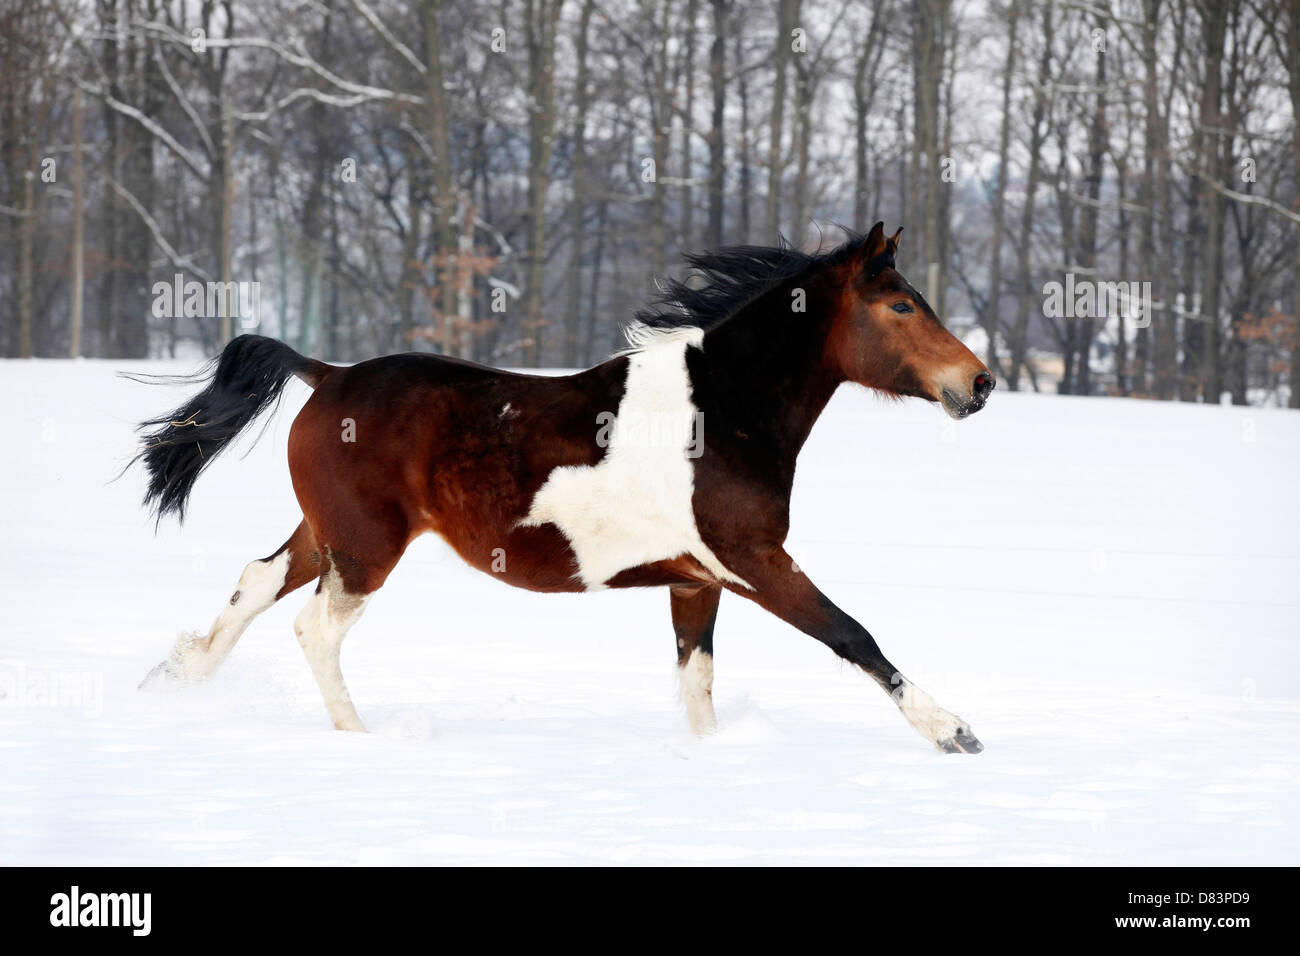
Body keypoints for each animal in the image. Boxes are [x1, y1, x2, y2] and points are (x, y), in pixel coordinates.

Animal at [132, 222, 994, 753]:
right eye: (901, 304)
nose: (979, 384)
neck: (724, 410)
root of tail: (328, 373)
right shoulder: (754, 560)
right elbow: (853, 635)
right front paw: (954, 732)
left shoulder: (697, 580)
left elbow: (698, 681)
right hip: (367, 548)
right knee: (314, 629)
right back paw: (358, 736)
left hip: (332, 535)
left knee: (256, 581)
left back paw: (176, 676)